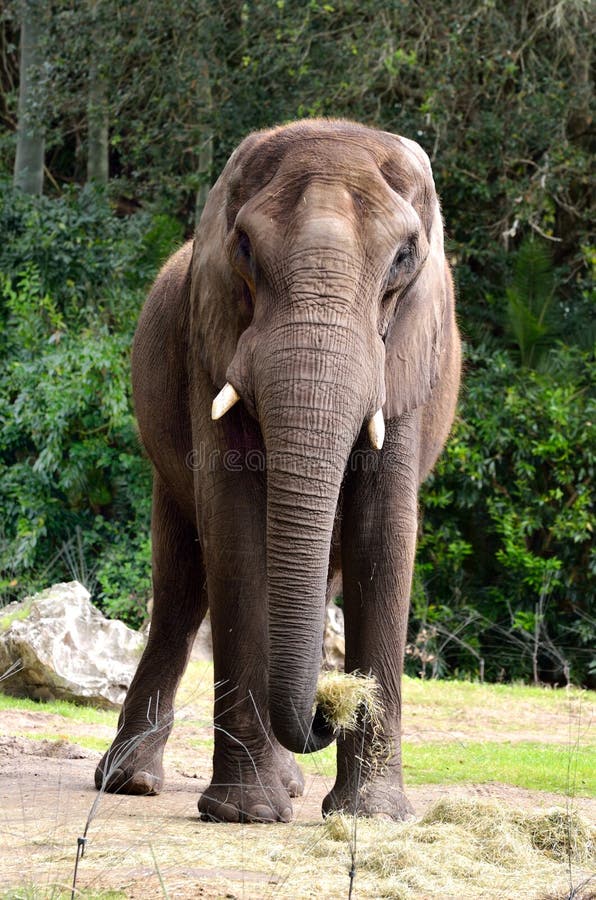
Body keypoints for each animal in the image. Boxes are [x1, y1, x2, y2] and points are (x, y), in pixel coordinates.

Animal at [95, 118, 461, 823]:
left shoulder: (410, 358)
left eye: (404, 258)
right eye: (243, 248)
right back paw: (130, 781)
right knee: (180, 585)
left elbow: (384, 532)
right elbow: (234, 524)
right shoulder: (209, 343)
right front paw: (245, 814)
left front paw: (371, 816)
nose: (325, 711)